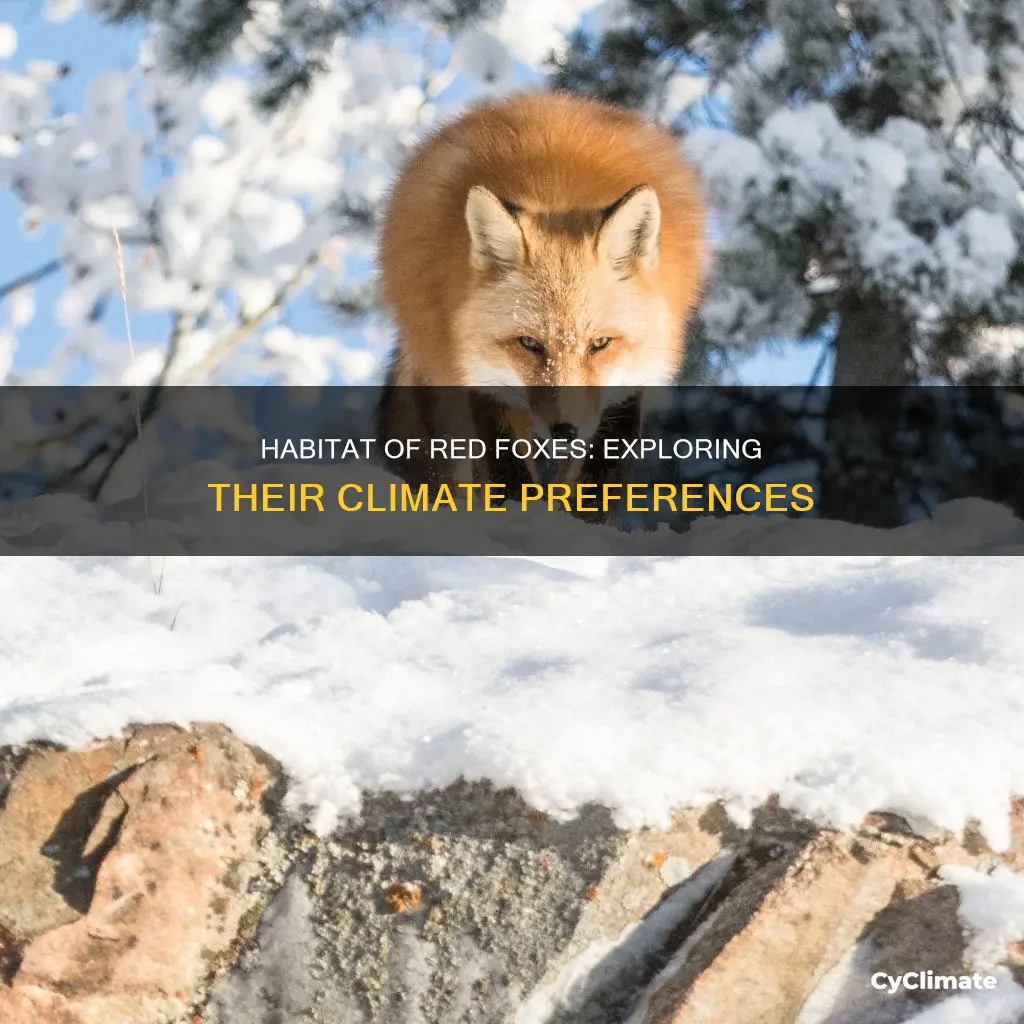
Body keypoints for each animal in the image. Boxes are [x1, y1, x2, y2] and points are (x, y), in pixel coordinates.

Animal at [376, 90, 706, 504]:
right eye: (529, 343)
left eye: (600, 343)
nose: (564, 431)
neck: (559, 191)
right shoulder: (481, 380)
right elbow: (510, 477)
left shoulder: (626, 386)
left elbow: (598, 479)